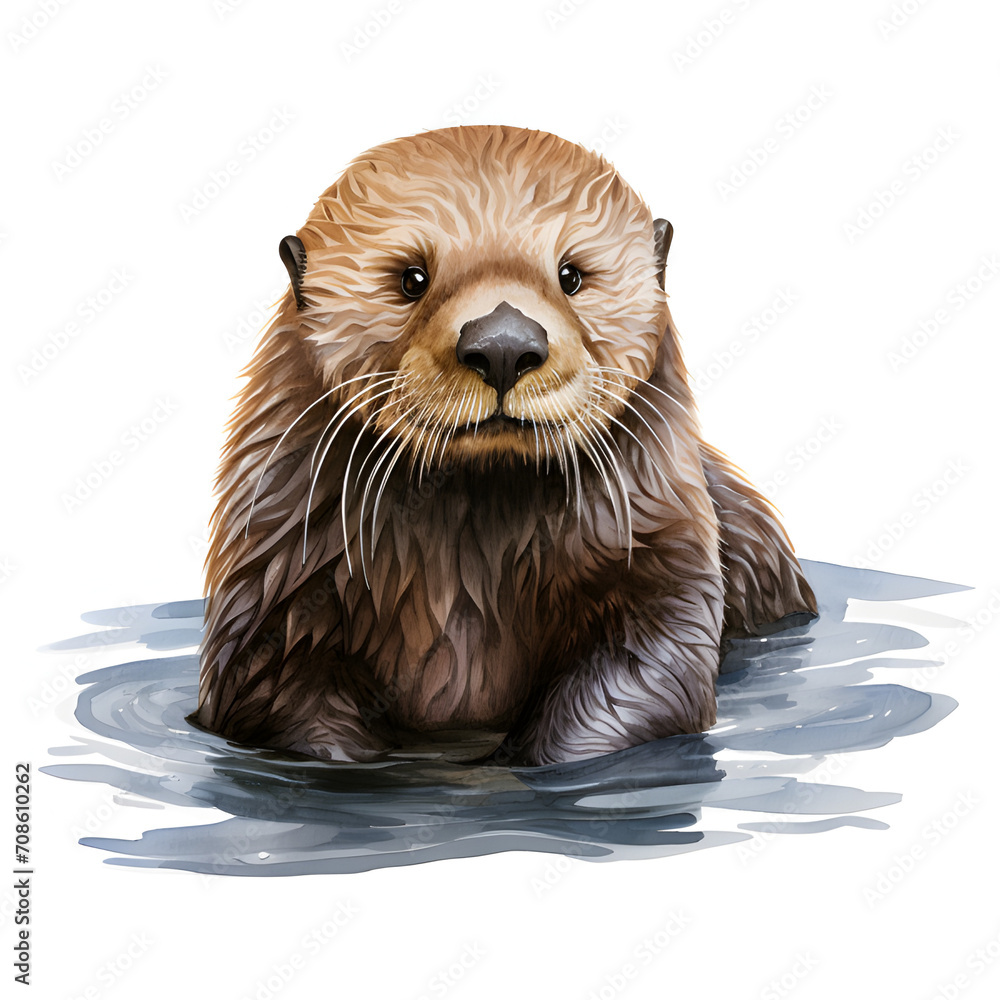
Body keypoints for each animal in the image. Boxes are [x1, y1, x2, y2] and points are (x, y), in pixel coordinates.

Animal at [194, 125, 816, 766]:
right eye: (411, 279)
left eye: (571, 275)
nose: (502, 345)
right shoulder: (280, 578)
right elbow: (271, 684)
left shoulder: (659, 550)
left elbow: (650, 667)